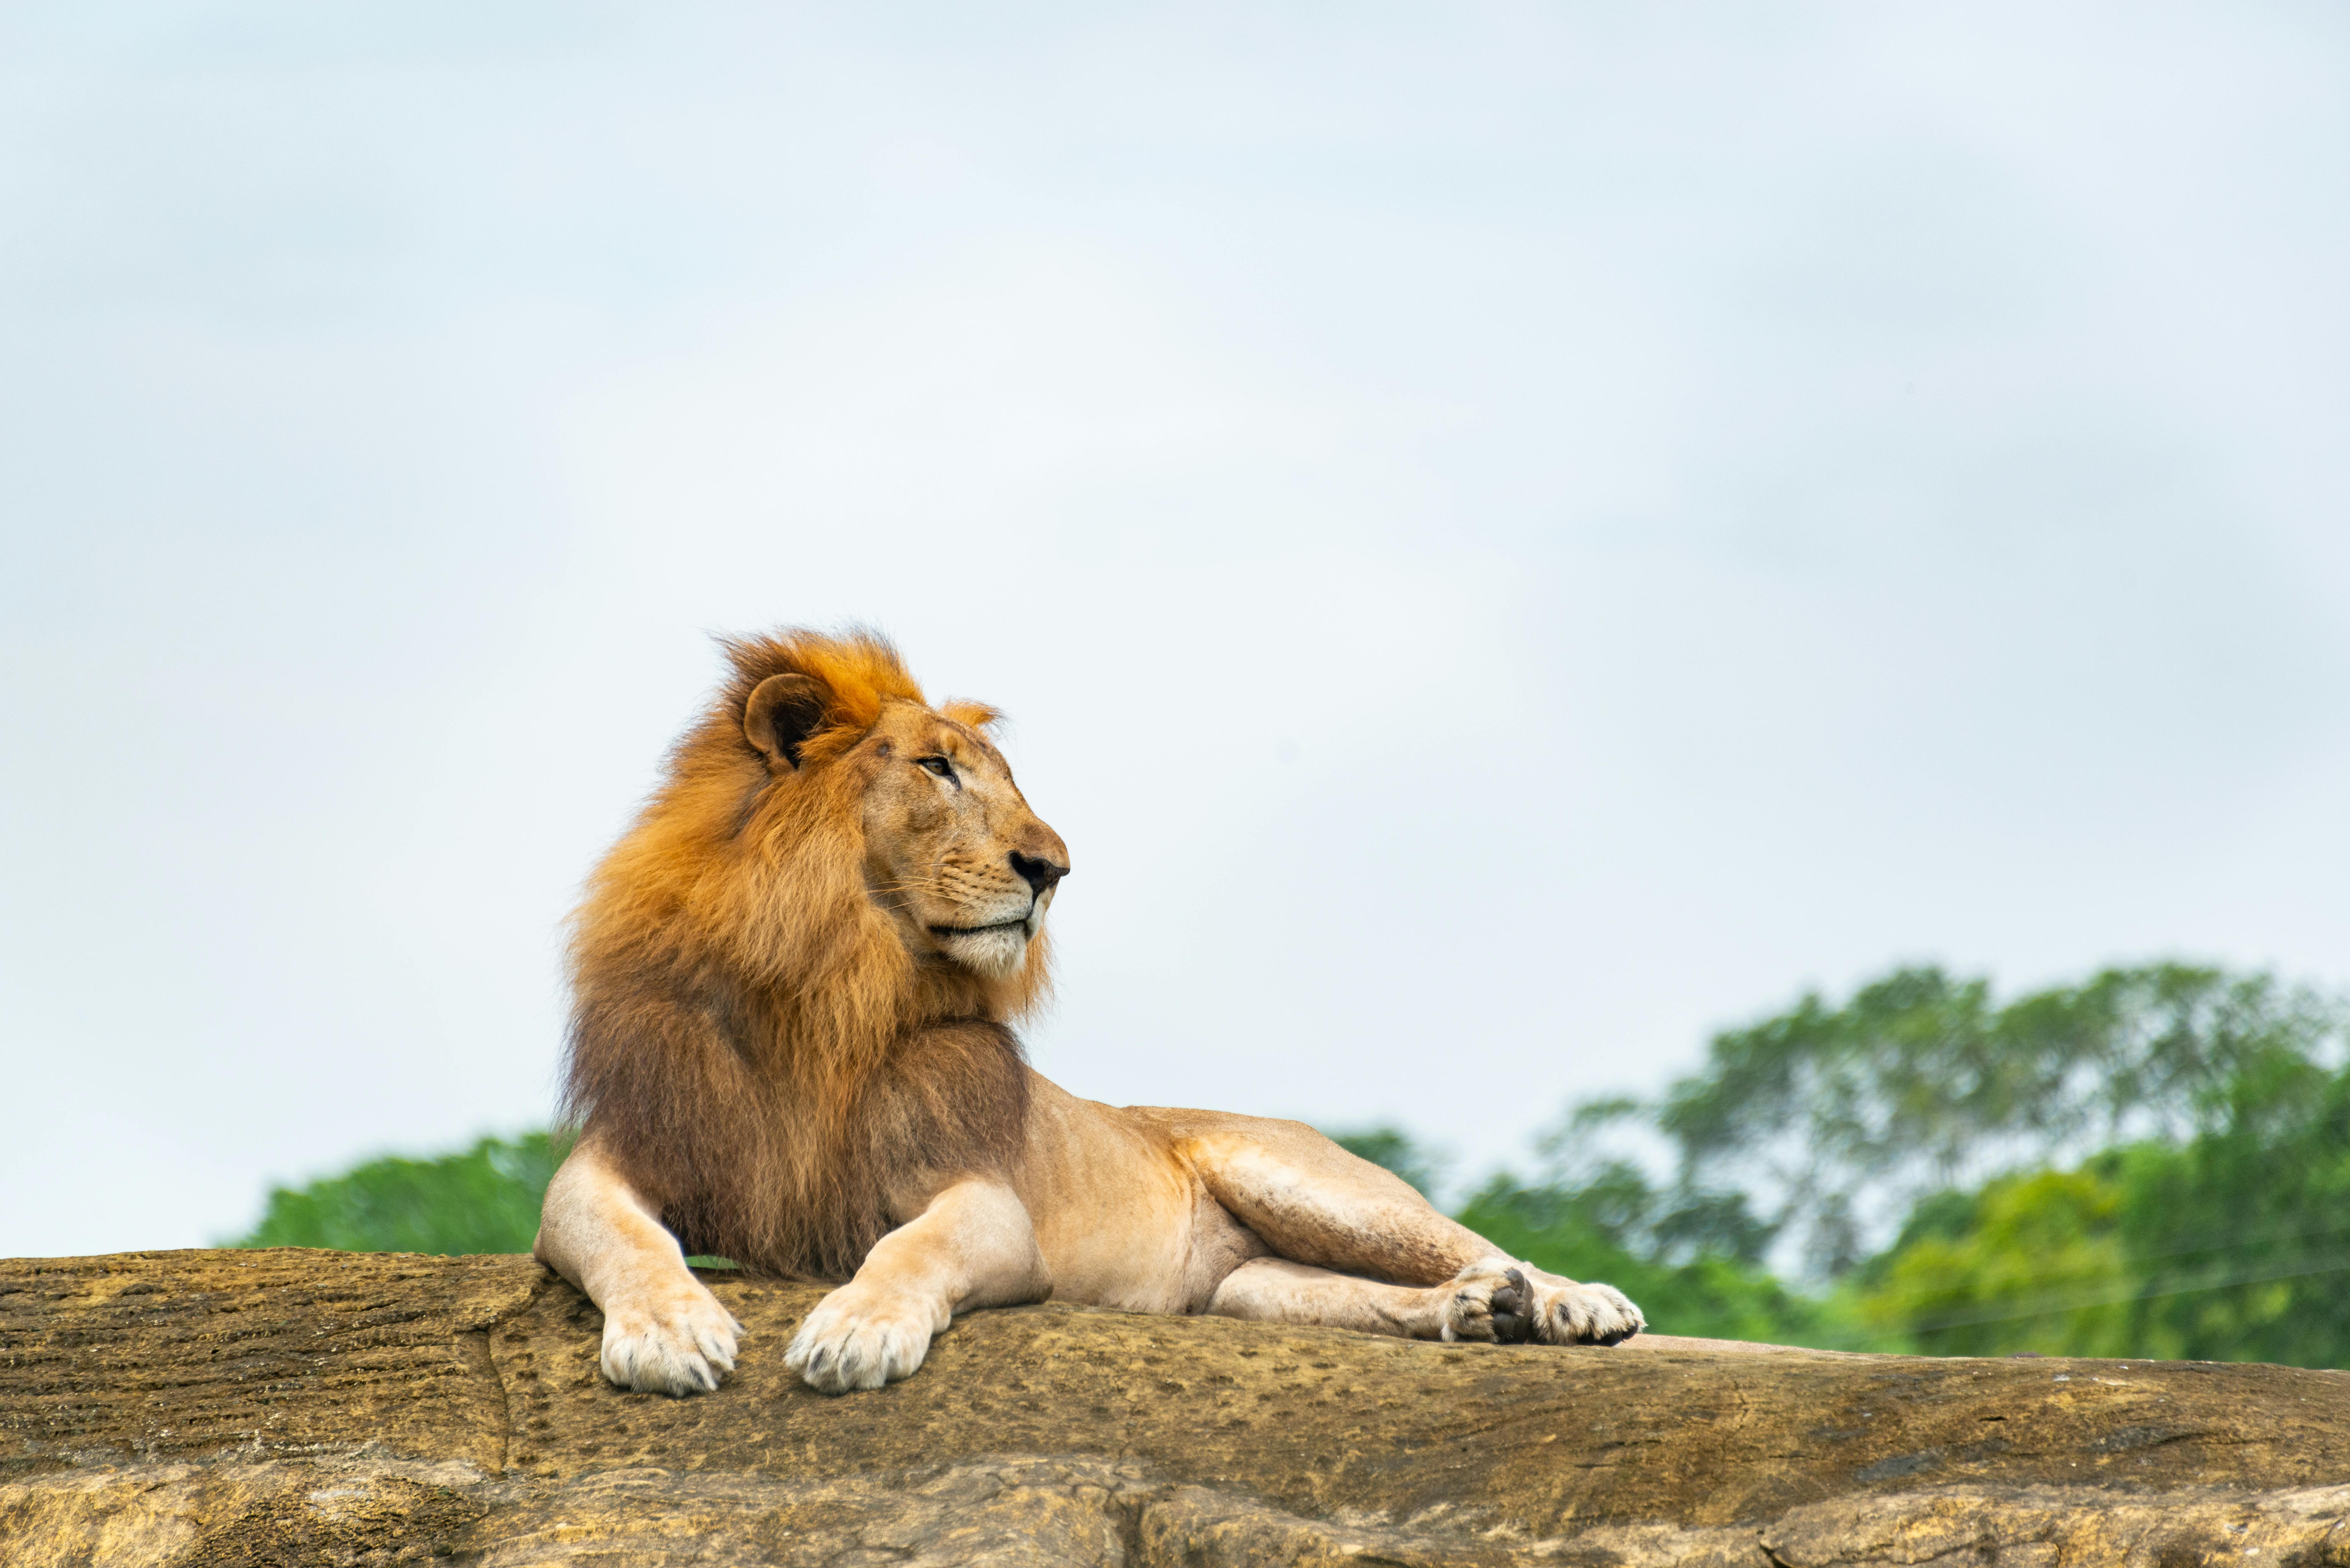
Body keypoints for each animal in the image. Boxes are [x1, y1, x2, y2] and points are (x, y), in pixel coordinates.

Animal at [534, 629, 1644, 1395]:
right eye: (935, 767)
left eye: (1003, 778)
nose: (1052, 868)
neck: (830, 985)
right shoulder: (614, 1160)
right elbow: (626, 1239)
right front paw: (670, 1332)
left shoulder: (989, 1203)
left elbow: (909, 1248)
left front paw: (854, 1330)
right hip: (1251, 1289)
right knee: (1352, 1294)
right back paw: (1478, 1312)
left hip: (1310, 1183)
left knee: (1469, 1239)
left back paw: (1567, 1303)